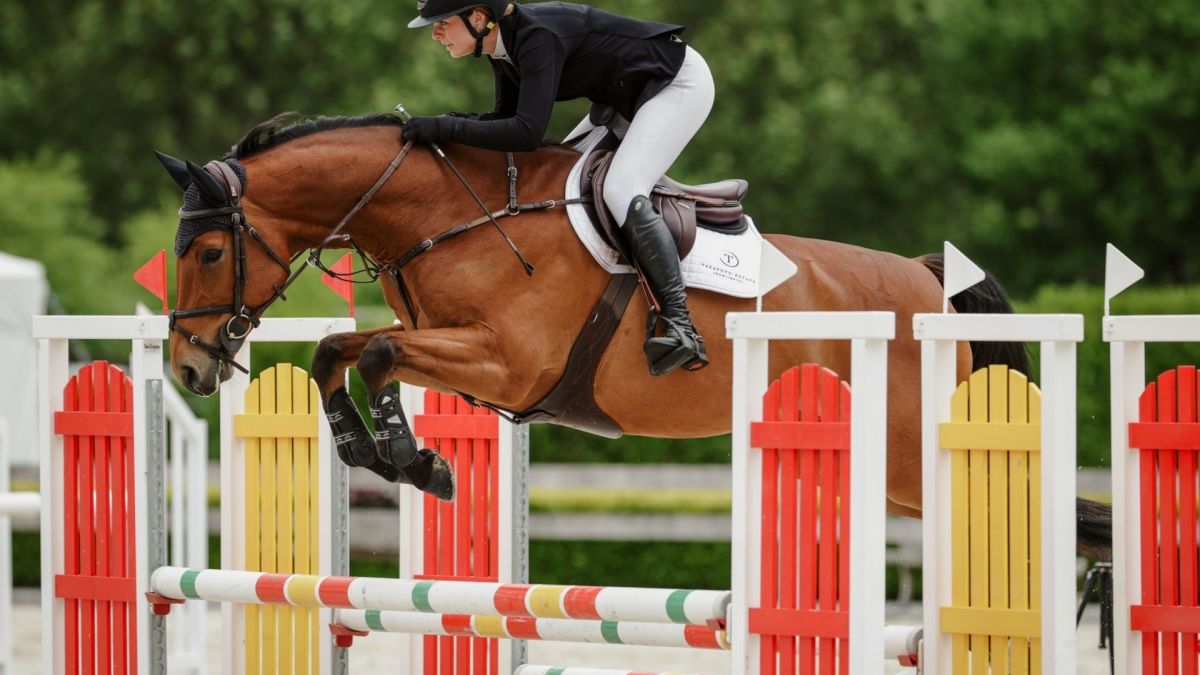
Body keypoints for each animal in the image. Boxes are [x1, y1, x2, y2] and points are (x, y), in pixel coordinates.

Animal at [158, 112, 1110, 555]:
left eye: (208, 249)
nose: (189, 370)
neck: (451, 215)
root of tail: (925, 275)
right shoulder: (457, 348)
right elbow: (340, 350)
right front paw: (377, 451)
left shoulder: (508, 362)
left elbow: (382, 351)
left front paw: (414, 459)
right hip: (899, 472)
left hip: (911, 453)